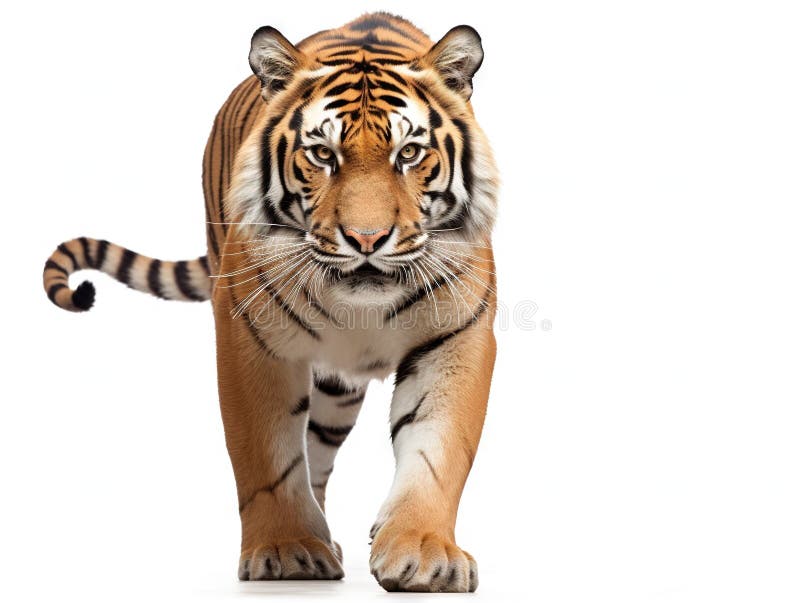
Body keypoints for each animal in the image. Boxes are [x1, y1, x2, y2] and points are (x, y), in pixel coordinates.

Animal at [42, 12, 498, 593]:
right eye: (323, 154)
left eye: (409, 153)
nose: (366, 239)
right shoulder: (249, 337)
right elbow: (267, 455)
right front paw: (286, 551)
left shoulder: (457, 334)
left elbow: (437, 451)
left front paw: (424, 553)